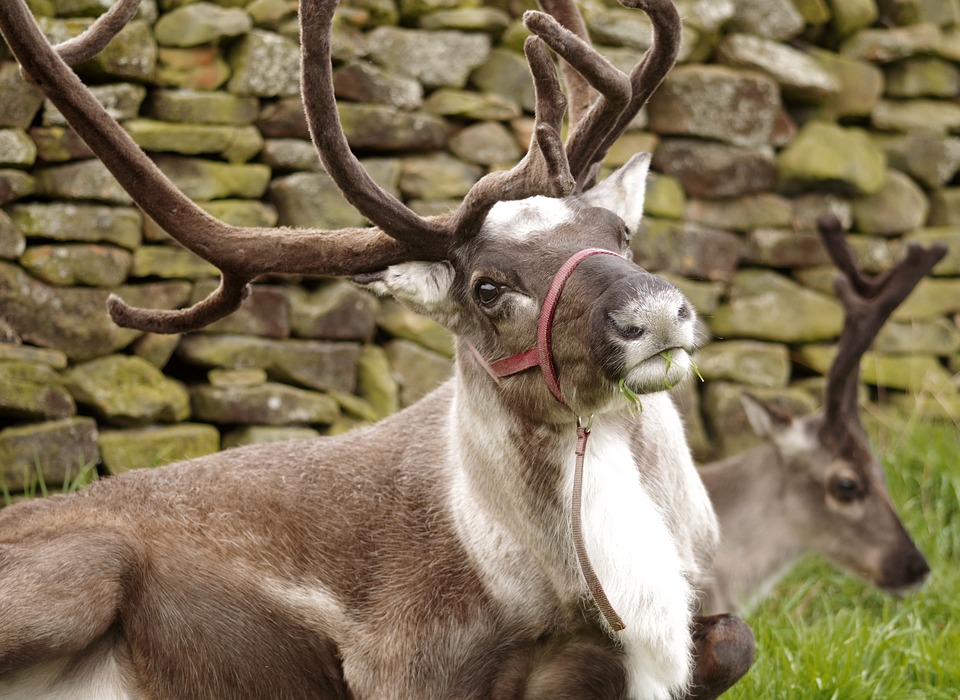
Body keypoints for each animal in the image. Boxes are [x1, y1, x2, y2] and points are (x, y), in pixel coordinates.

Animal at [0, 0, 755, 698]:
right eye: (487, 286)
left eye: (618, 232)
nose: (654, 314)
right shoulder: (401, 658)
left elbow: (735, 641)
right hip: (89, 568)